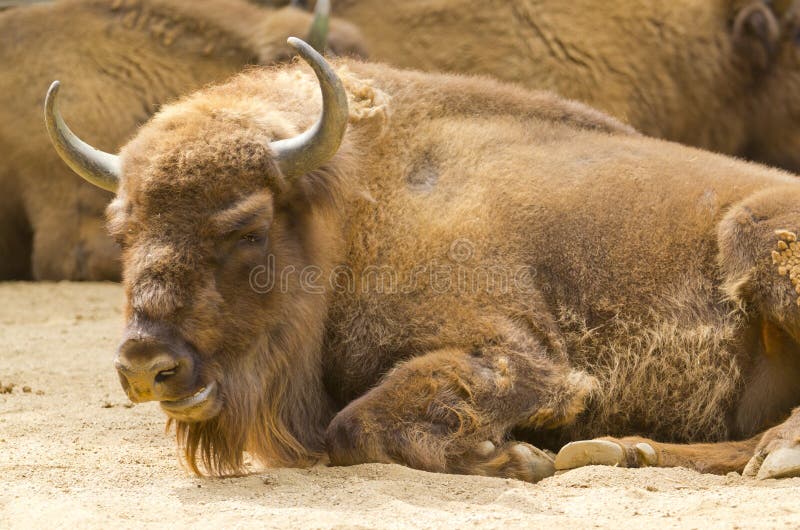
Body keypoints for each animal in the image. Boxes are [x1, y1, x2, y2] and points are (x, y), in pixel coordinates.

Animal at [45, 39, 800, 481]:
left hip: (757, 241)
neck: (361, 211)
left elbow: (357, 426)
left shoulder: (526, 357)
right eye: (122, 228)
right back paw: (624, 450)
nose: (147, 364)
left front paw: (513, 457)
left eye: (248, 226)